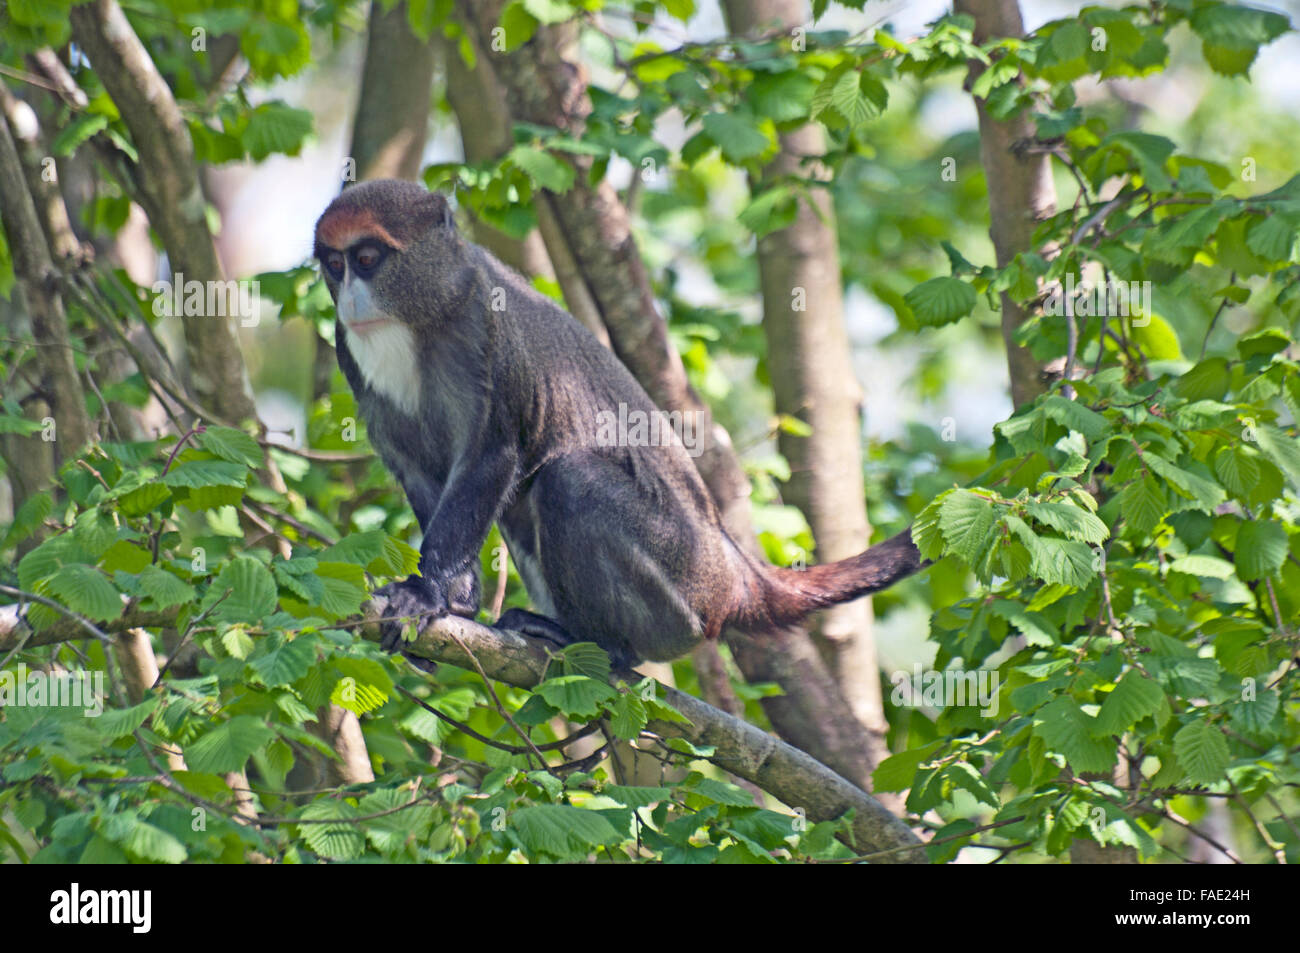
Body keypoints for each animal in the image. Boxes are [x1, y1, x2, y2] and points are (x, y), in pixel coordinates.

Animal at [313, 179, 922, 669]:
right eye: (334, 266)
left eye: (367, 259)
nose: (349, 300)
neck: (424, 314)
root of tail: (732, 574)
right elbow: (423, 474)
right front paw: (456, 604)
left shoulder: (485, 331)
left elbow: (492, 454)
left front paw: (425, 596)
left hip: (677, 592)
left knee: (569, 481)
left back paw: (605, 645)